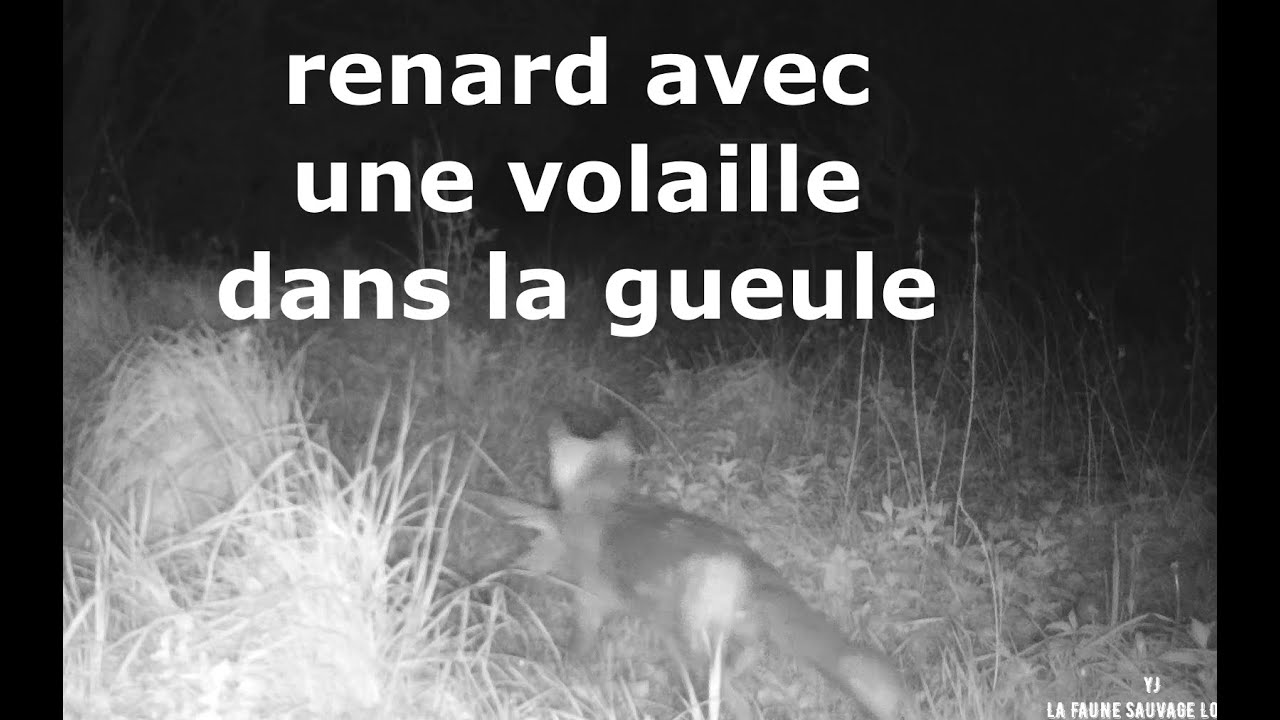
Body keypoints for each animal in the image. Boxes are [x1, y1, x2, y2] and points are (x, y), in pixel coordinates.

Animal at [472, 416, 908, 720]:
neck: (603, 499)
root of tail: (748, 564)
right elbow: (521, 555)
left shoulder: (589, 595)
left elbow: (573, 636)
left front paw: (563, 668)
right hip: (733, 640)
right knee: (741, 674)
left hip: (697, 642)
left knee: (735, 701)